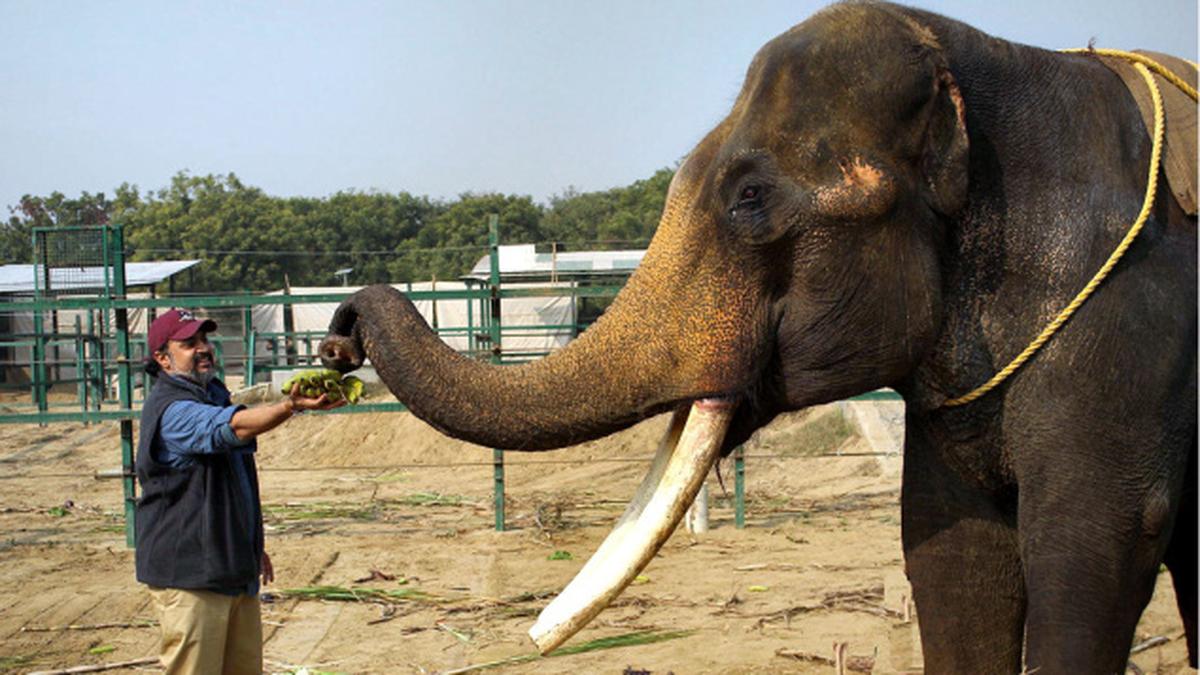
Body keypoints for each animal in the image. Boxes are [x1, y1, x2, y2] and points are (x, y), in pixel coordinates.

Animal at [319, 2, 1197, 672]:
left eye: (748, 199)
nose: (341, 330)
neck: (991, 56)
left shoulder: (1130, 329)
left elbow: (1091, 545)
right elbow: (953, 554)